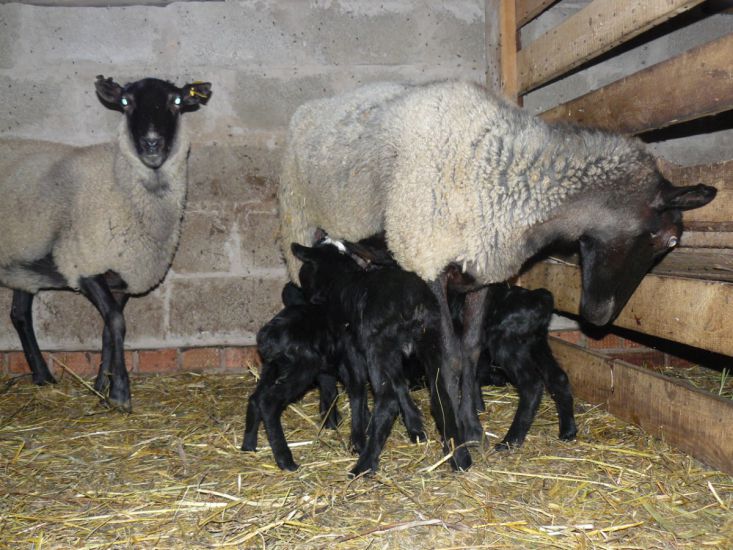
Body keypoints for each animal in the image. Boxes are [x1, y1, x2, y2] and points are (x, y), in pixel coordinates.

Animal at [0, 75, 212, 411]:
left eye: (176, 101)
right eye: (126, 102)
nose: (152, 144)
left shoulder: (124, 277)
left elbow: (108, 331)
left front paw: (101, 388)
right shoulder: (84, 264)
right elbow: (116, 322)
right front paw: (120, 393)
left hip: (23, 261)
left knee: (20, 315)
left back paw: (43, 377)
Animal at [277, 79, 716, 444]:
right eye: (668, 239)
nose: (599, 316)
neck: (502, 175)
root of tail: (311, 106)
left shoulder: (484, 273)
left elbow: (471, 352)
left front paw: (472, 424)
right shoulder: (428, 264)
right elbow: (450, 356)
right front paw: (457, 430)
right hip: (296, 223)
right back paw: (329, 412)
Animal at [293, 238, 472, 476]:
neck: (343, 280)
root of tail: (411, 304)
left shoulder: (353, 349)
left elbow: (358, 389)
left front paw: (358, 439)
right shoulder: (392, 354)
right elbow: (399, 383)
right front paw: (415, 427)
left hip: (379, 346)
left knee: (387, 400)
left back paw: (364, 464)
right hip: (431, 340)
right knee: (441, 395)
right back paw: (460, 457)